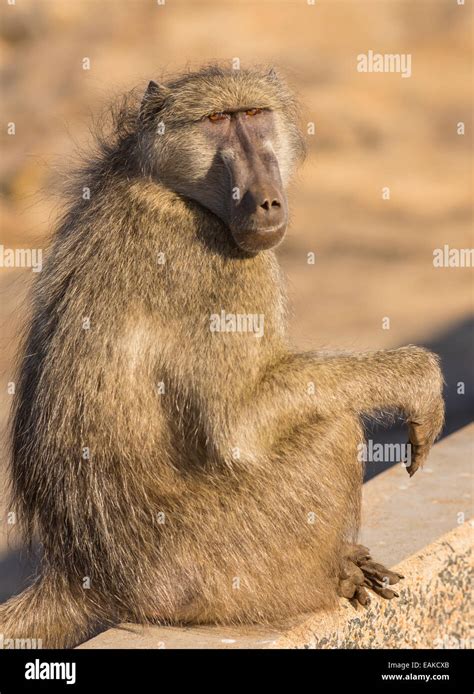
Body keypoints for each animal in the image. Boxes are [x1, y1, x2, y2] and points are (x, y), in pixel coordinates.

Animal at [0, 65, 444, 648]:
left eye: (253, 115)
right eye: (216, 121)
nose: (266, 200)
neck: (163, 185)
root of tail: (83, 574)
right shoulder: (220, 265)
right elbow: (241, 421)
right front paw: (417, 379)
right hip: (211, 567)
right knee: (334, 429)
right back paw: (325, 577)